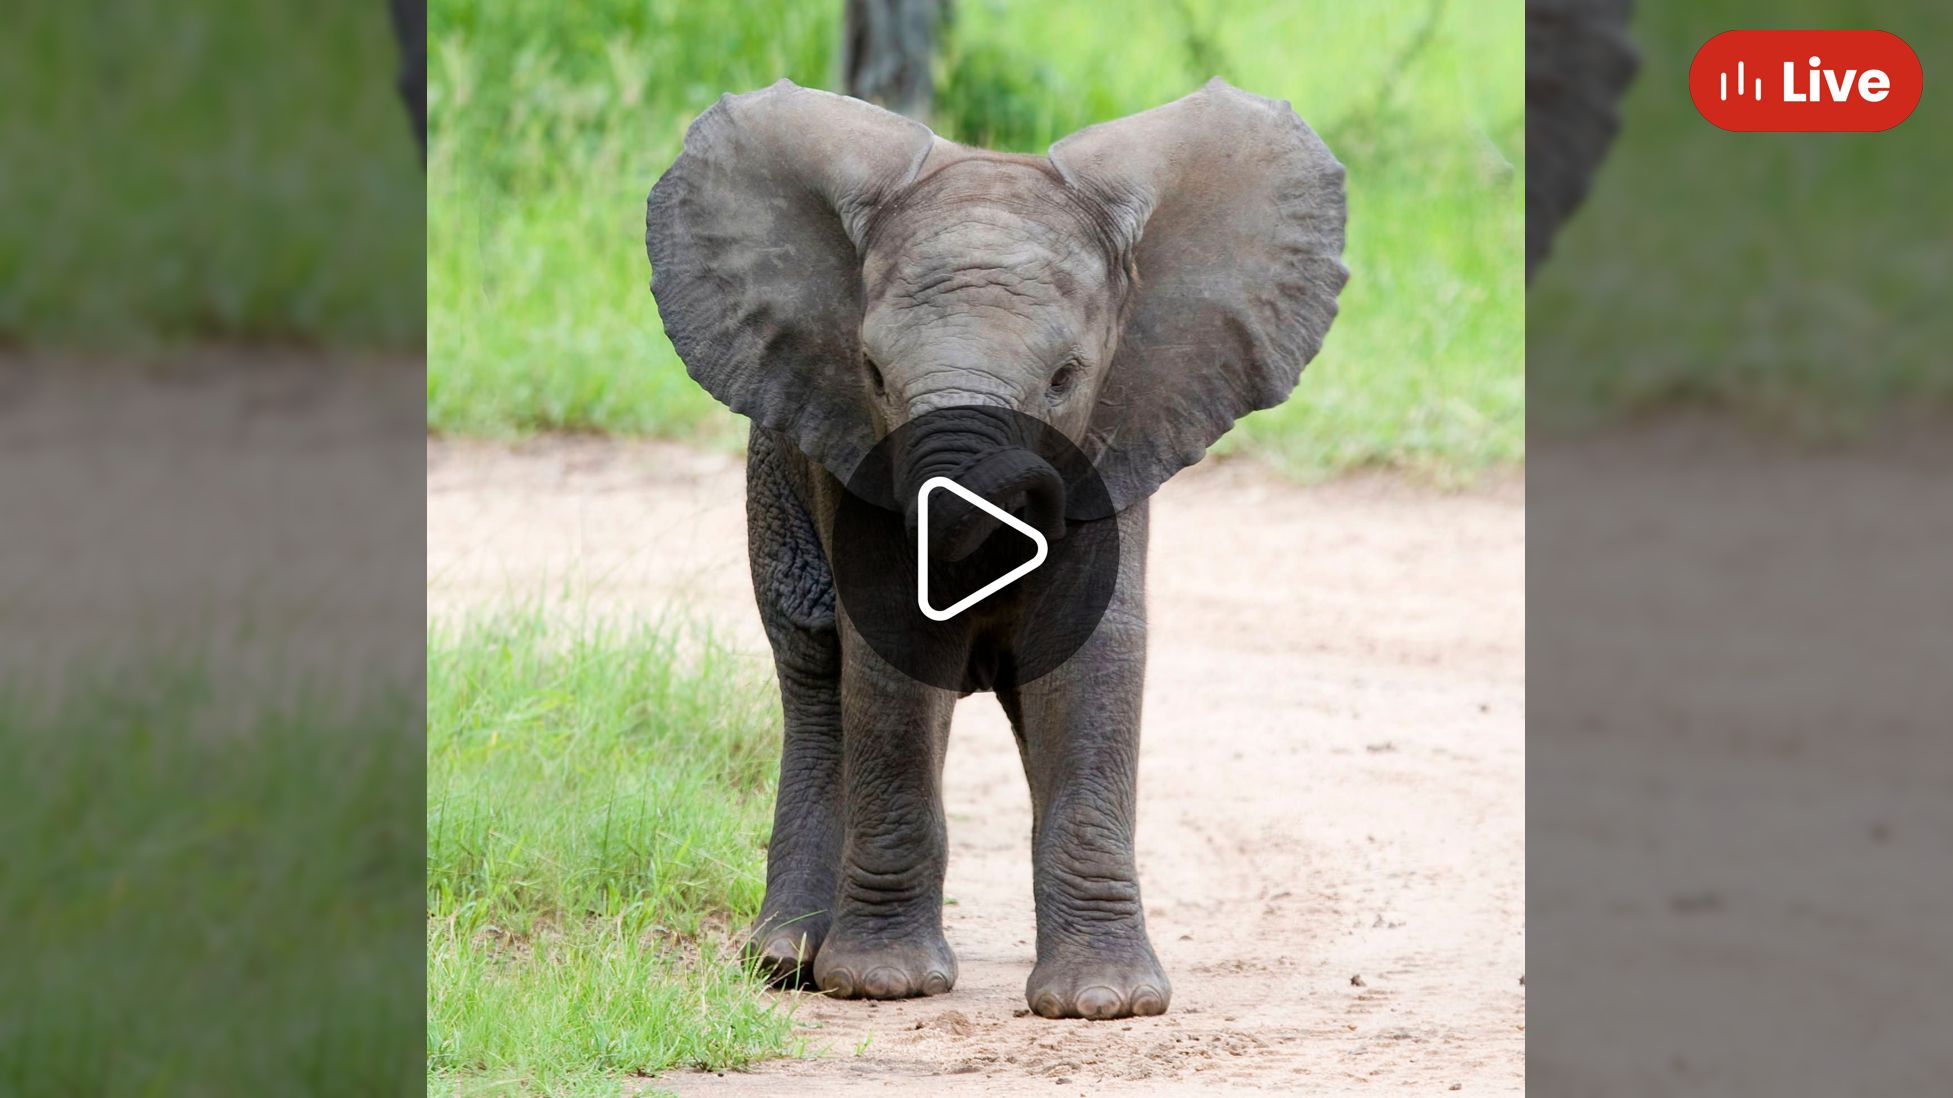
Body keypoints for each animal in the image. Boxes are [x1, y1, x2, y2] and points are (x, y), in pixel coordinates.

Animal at [644, 78, 1346, 1019]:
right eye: (872, 373)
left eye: (1065, 378)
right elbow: (890, 662)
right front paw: (882, 986)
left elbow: (1088, 660)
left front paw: (1103, 1004)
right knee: (815, 675)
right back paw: (787, 959)